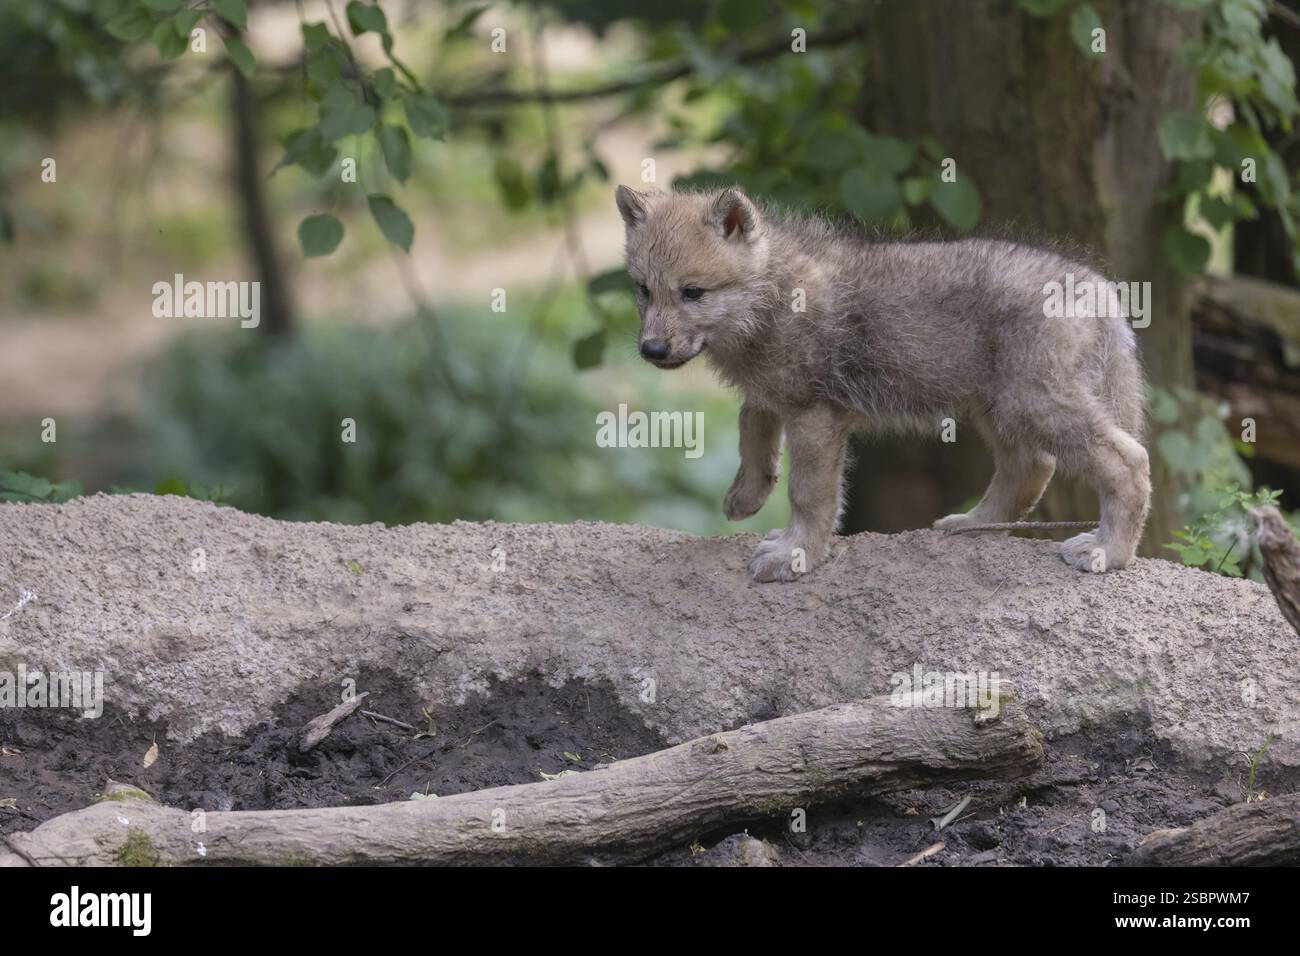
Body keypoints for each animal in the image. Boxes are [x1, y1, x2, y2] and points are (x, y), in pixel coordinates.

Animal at [616, 184, 1151, 582]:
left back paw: (1108, 552)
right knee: (1030, 468)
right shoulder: (776, 393)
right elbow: (752, 432)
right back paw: (974, 527)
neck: (768, 296)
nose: (651, 350)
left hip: (1034, 402)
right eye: (643, 290)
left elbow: (808, 494)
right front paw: (747, 495)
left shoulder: (814, 416)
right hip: (996, 404)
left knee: (1127, 461)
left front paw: (796, 554)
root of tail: (1100, 287)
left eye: (693, 292)